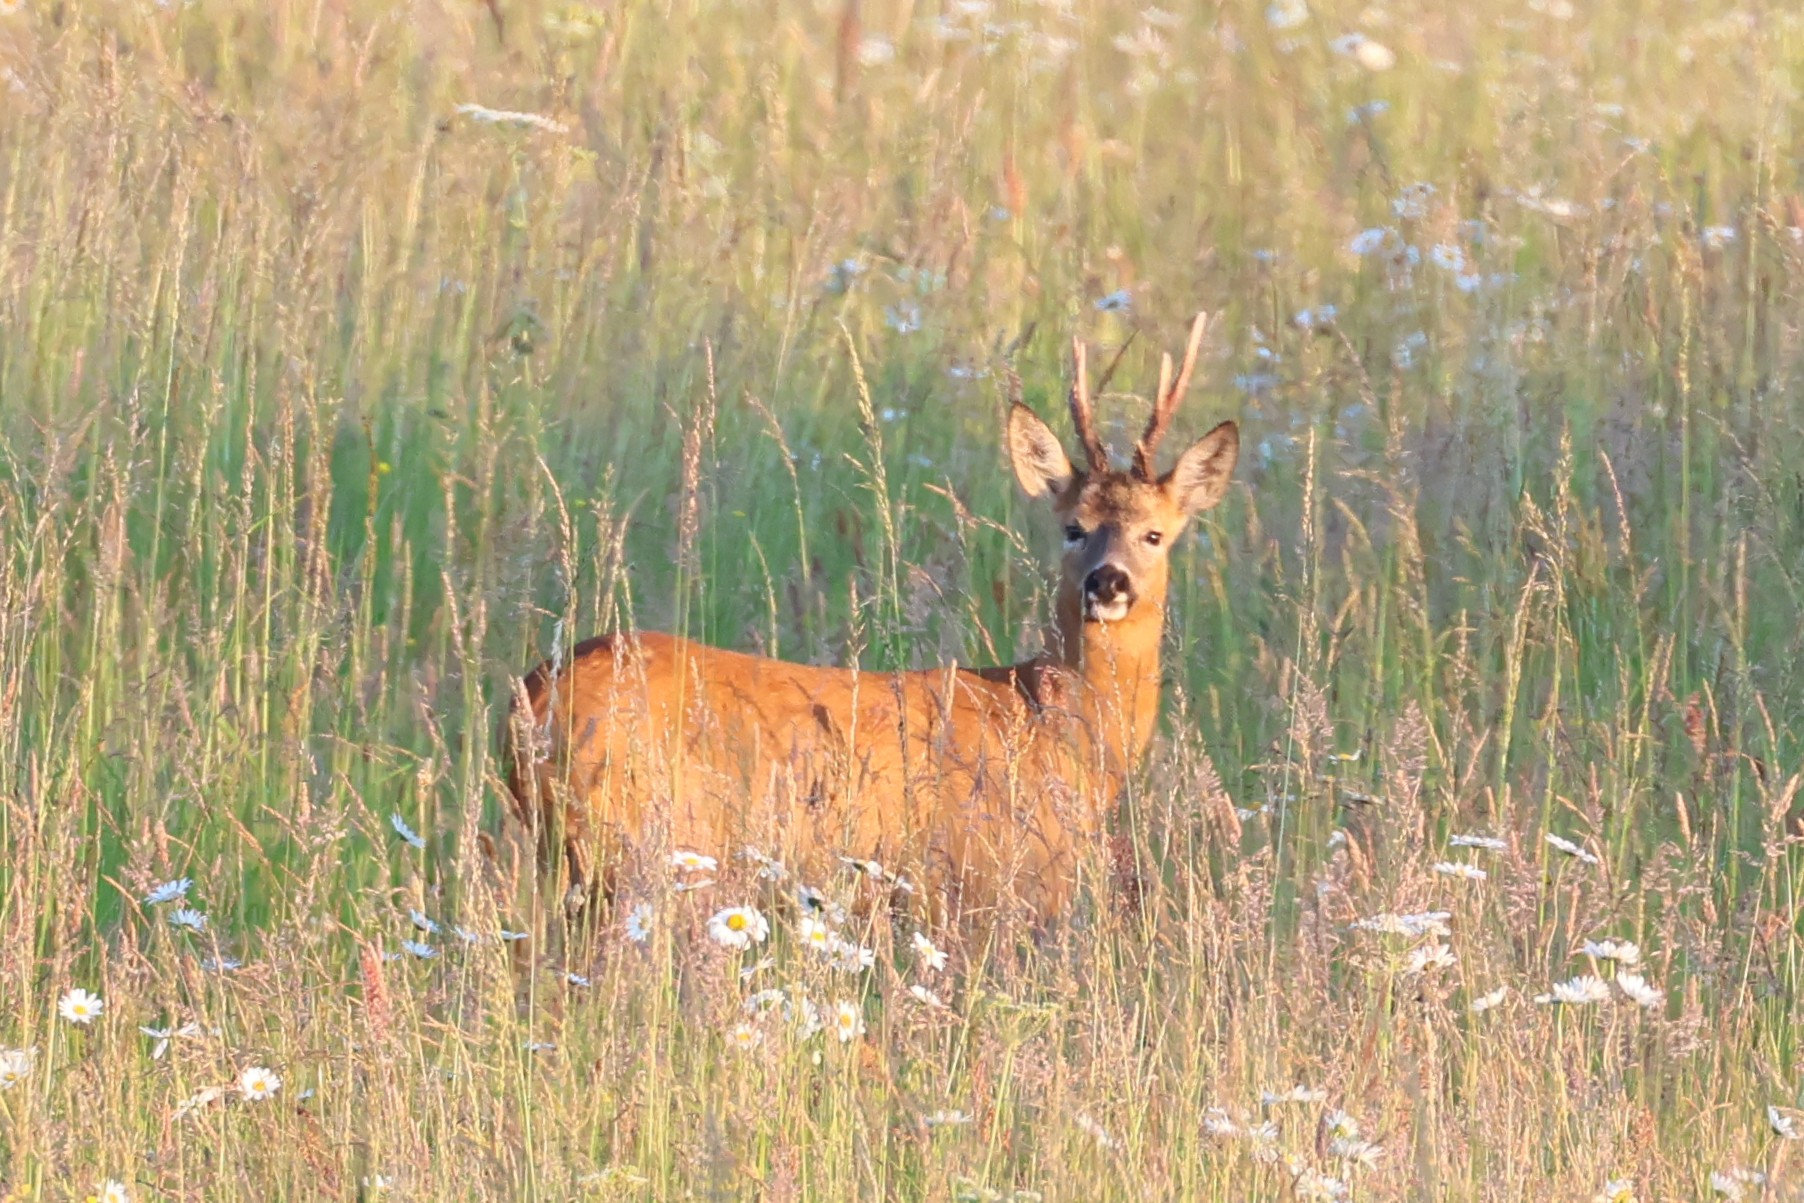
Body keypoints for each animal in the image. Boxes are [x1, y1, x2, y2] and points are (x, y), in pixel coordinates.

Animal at [504, 314, 1237, 927]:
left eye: (1155, 534)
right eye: (1073, 527)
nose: (1106, 583)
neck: (1058, 727)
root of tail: (529, 696)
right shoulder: (981, 881)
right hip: (631, 846)